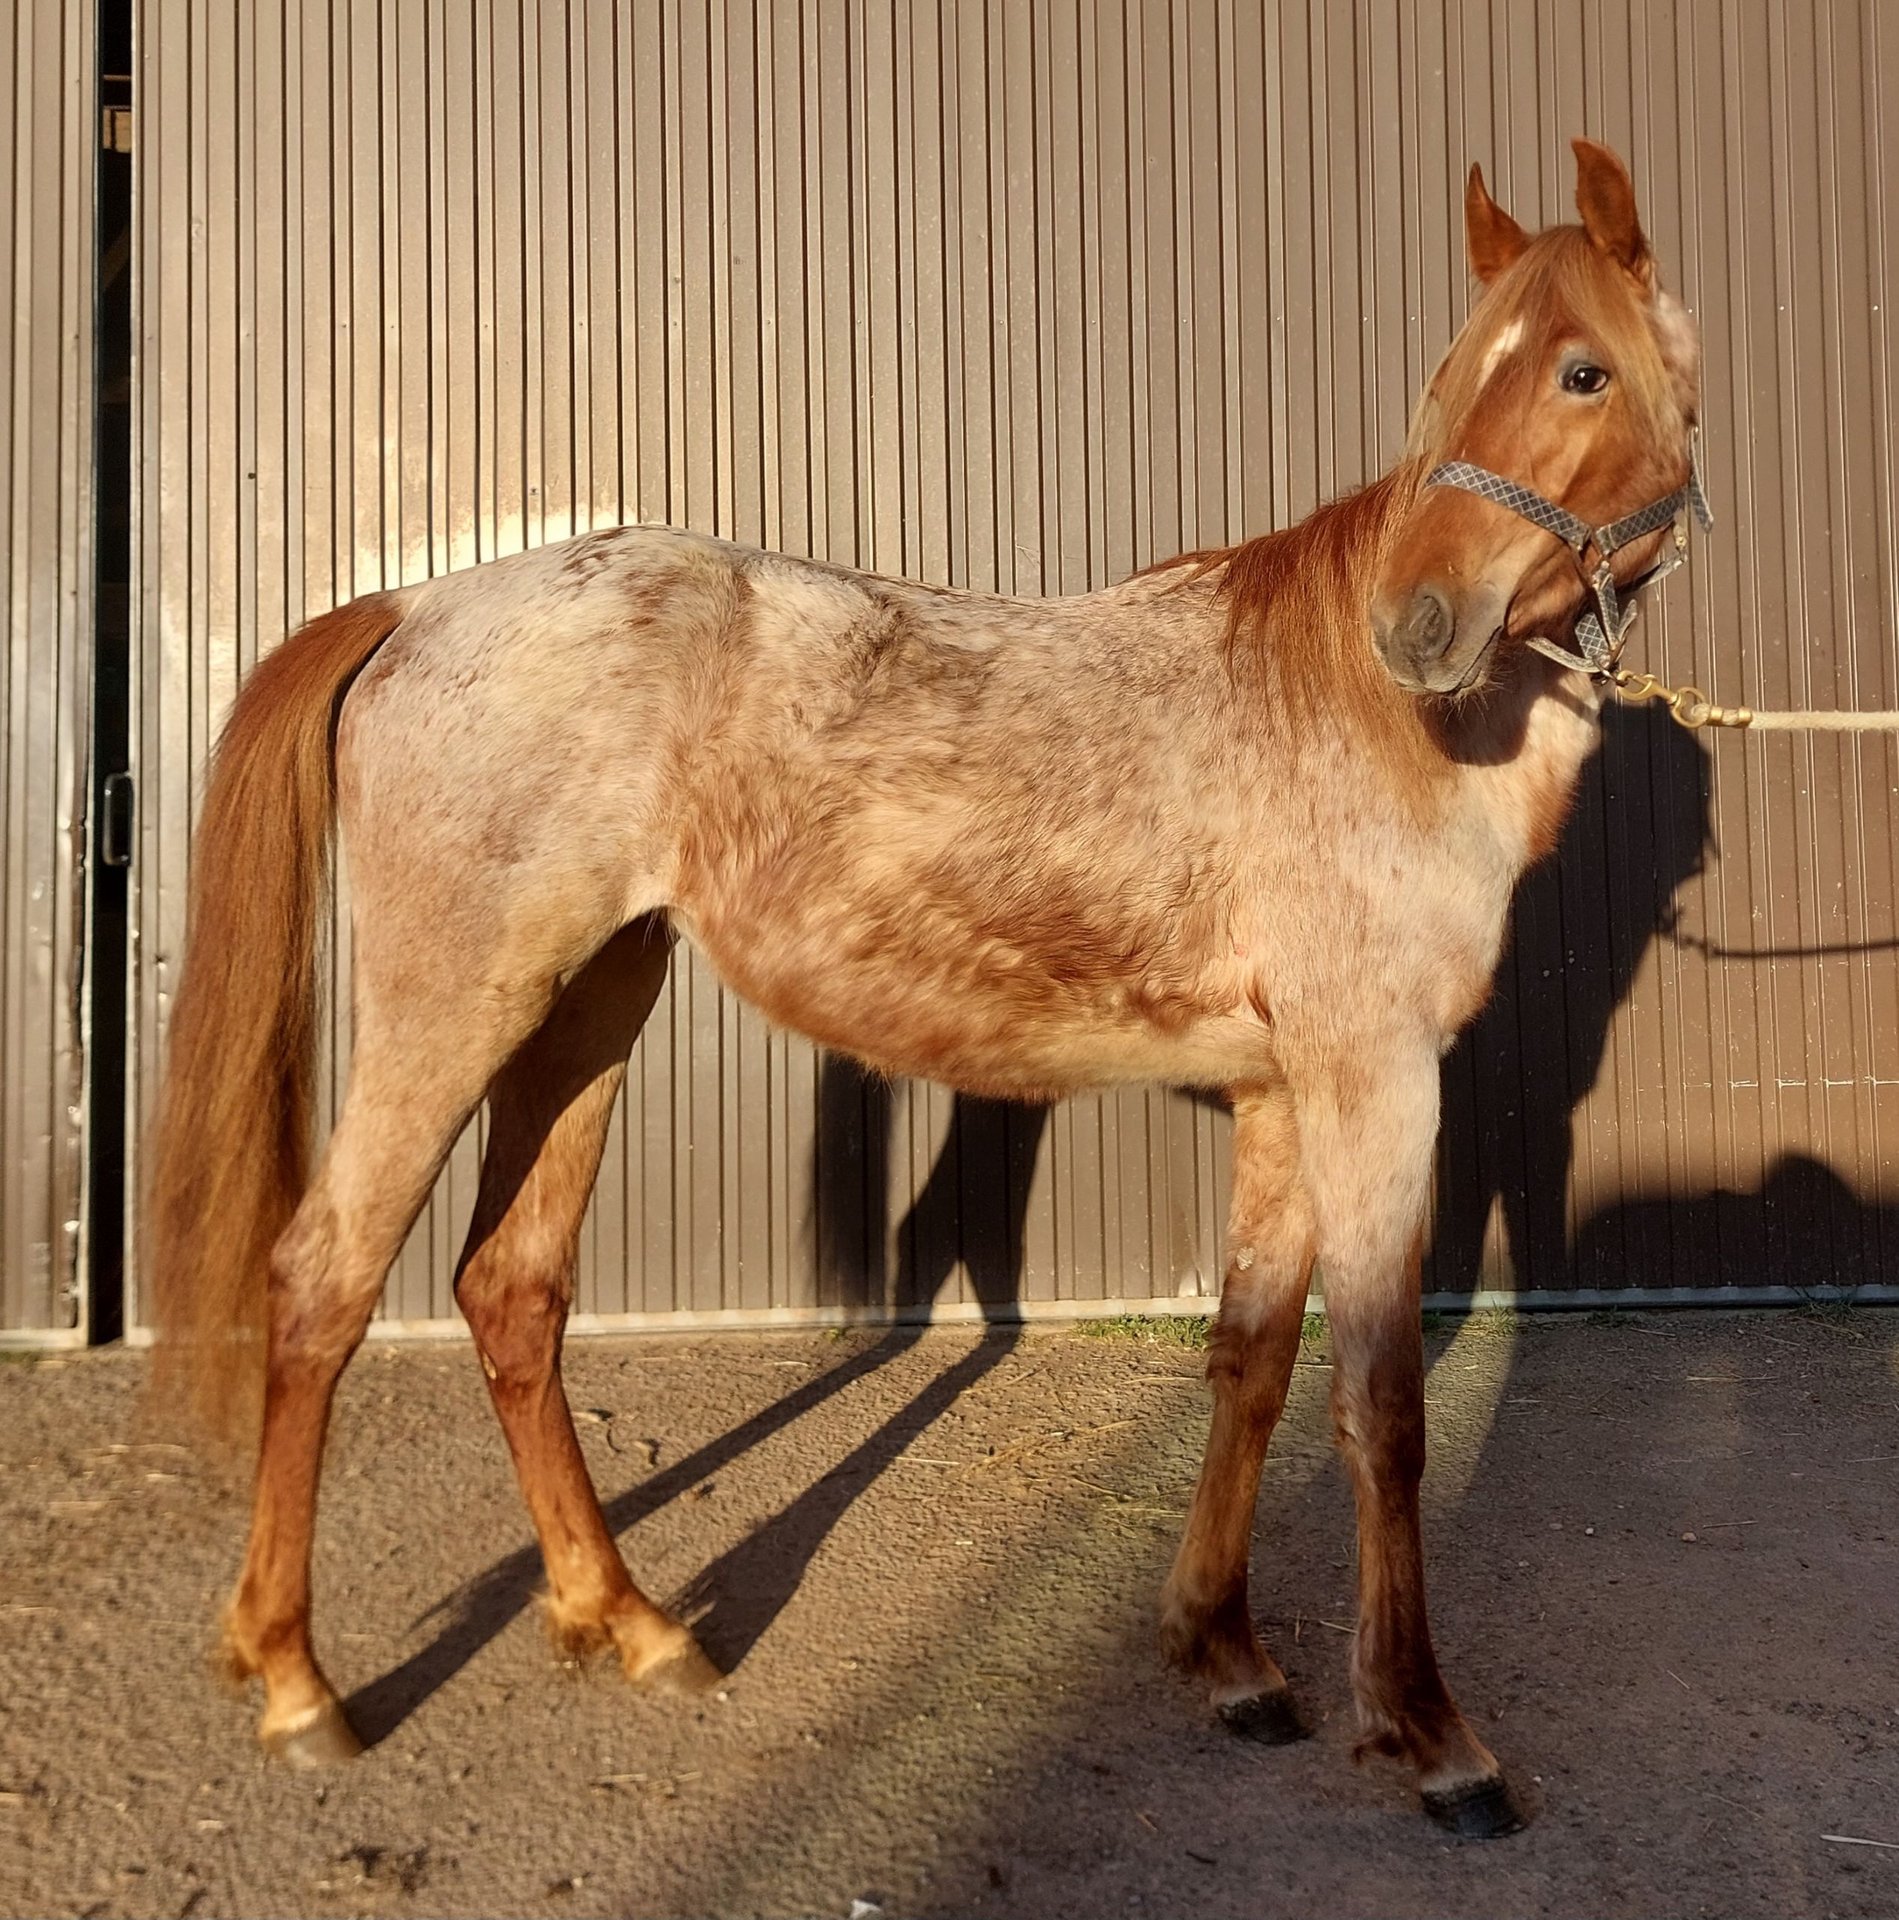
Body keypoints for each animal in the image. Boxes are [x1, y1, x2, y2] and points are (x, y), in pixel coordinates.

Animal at [149, 138, 1705, 1839]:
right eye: (1454, 373)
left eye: (1577, 369)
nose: (1415, 624)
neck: (1355, 713)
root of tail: (414, 610)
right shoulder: (1372, 1082)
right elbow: (1382, 1403)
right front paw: (1428, 1735)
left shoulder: (1283, 1094)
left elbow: (1248, 1362)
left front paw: (1224, 1658)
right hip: (458, 1010)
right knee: (324, 1280)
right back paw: (298, 1684)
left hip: (588, 1007)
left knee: (511, 1288)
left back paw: (627, 1624)